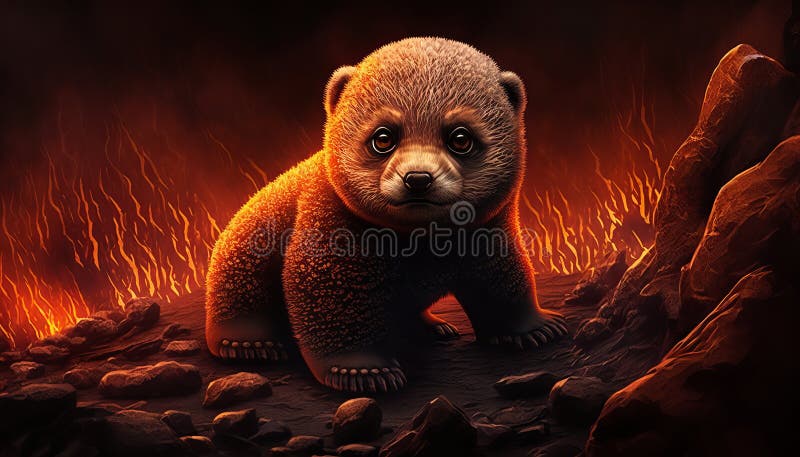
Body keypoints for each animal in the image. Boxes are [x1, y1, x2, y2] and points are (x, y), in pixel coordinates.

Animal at [205, 37, 567, 392]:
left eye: (460, 138)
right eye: (383, 138)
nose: (418, 179)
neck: (418, 237)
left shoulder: (486, 227)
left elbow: (500, 273)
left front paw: (535, 327)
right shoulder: (332, 218)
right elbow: (328, 293)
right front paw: (363, 370)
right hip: (248, 244)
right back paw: (248, 342)